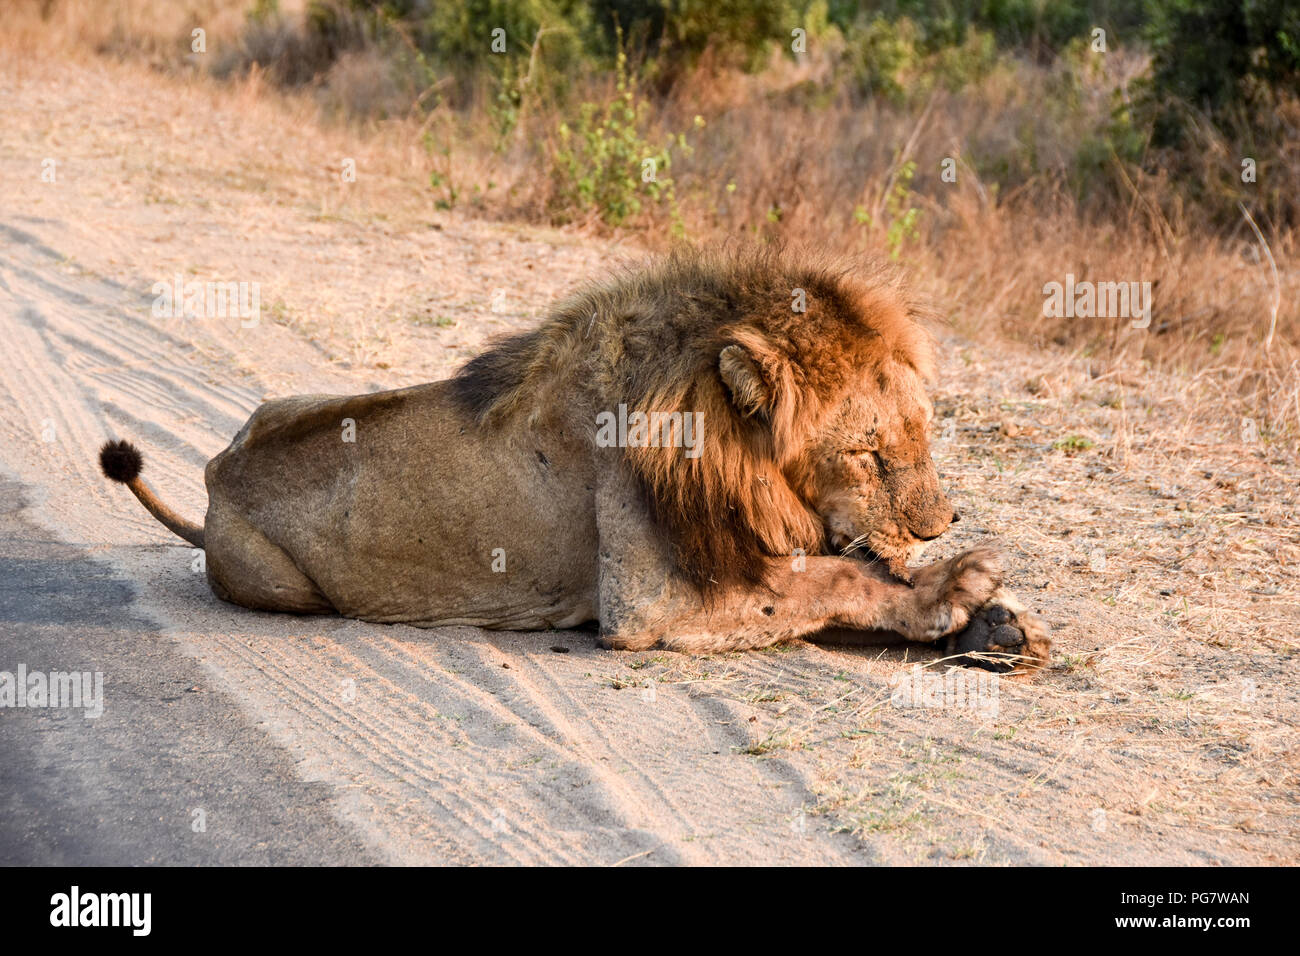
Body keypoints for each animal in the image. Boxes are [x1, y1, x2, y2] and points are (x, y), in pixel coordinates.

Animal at [99, 245, 1049, 669]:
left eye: (925, 431)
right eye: (866, 452)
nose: (940, 521)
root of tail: (215, 475)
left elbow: (839, 585)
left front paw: (998, 629)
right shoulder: (644, 606)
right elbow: (835, 582)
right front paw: (955, 589)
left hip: (286, 399)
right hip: (278, 584)